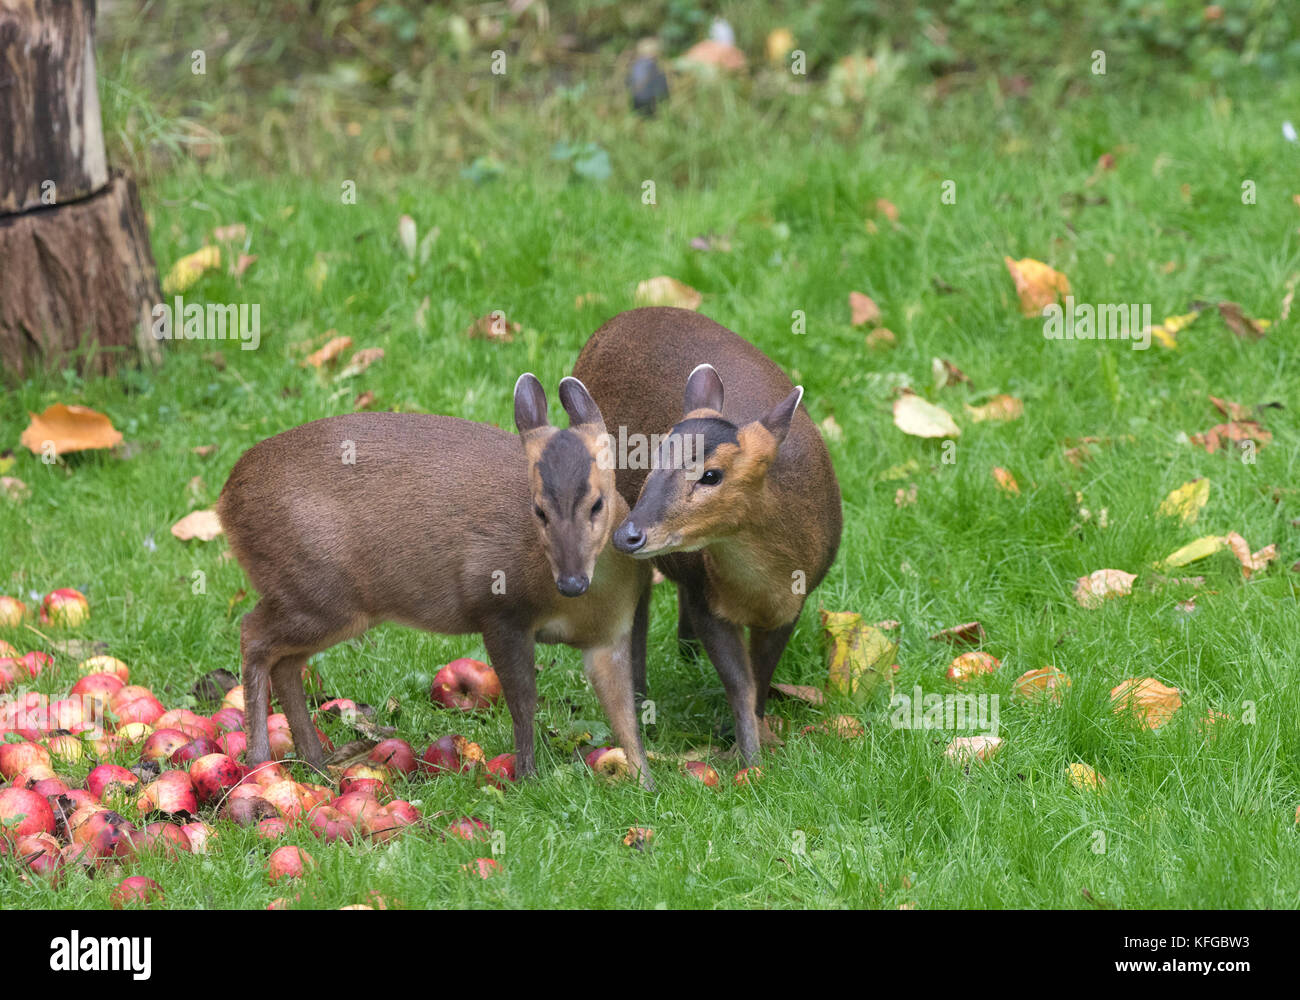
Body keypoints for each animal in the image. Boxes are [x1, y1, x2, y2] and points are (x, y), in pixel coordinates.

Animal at [215, 374, 654, 788]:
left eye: (598, 503)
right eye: (538, 510)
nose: (571, 582)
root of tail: (225, 499)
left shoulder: (609, 635)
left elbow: (624, 714)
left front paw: (646, 782)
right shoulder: (498, 609)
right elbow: (524, 701)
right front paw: (529, 776)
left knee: (286, 662)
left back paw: (316, 763)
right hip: (316, 589)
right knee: (253, 634)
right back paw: (259, 760)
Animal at [572, 307, 842, 765]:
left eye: (711, 475)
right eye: (651, 457)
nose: (628, 535)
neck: (764, 585)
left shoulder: (794, 602)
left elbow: (759, 677)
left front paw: (757, 745)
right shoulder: (706, 597)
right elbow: (740, 682)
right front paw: (750, 759)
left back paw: (685, 655)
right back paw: (641, 699)